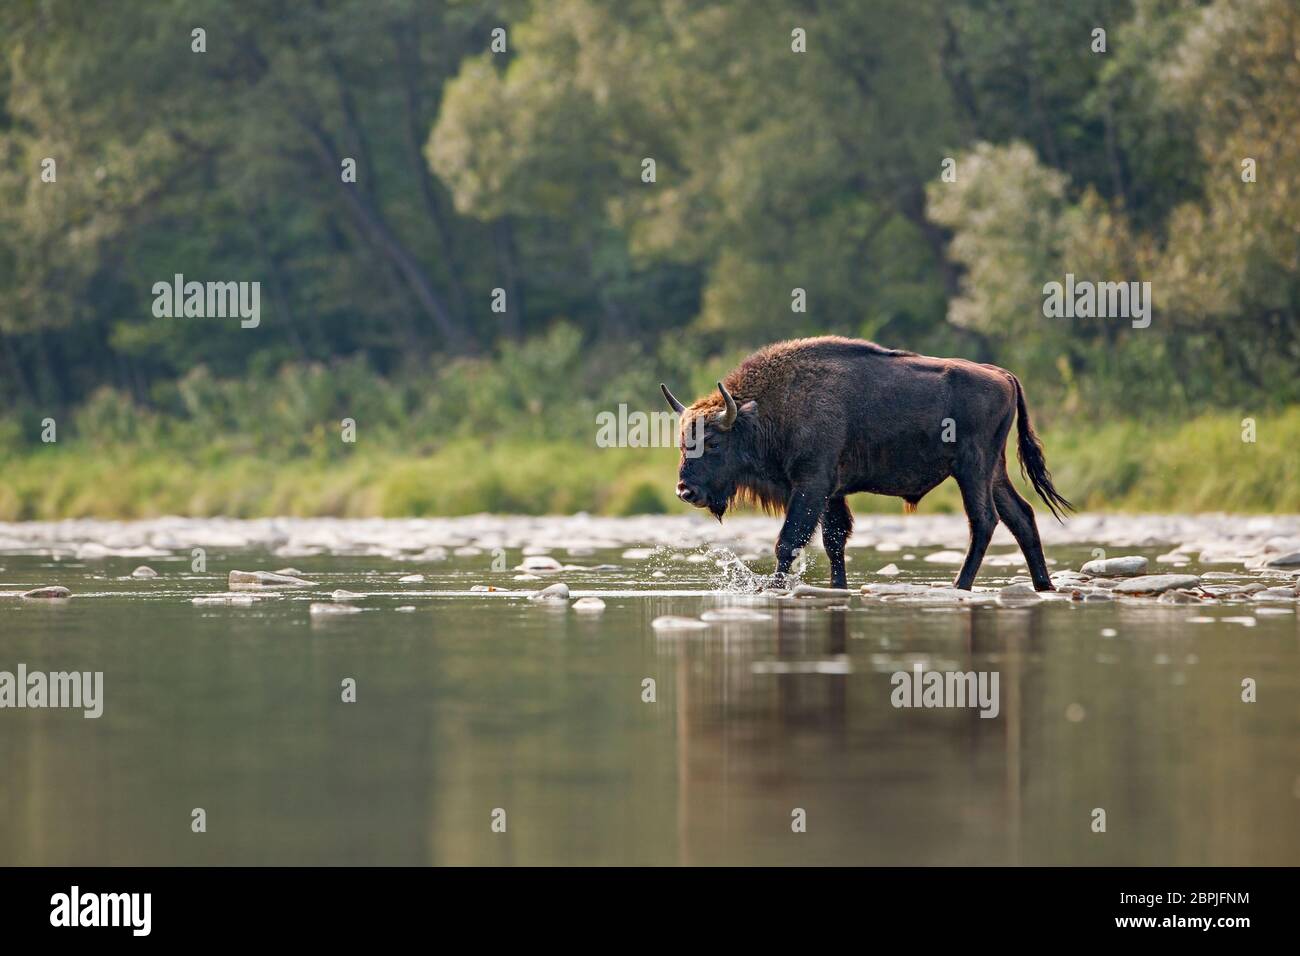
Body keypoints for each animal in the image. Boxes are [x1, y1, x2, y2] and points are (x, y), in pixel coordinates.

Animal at [660, 336, 1072, 591]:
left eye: (712, 442)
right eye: (682, 443)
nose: (685, 491)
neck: (763, 412)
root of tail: (1004, 375)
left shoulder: (810, 486)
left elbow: (789, 541)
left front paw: (774, 587)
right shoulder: (831, 493)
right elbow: (834, 541)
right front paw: (838, 586)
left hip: (973, 469)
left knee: (984, 520)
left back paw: (960, 584)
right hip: (994, 473)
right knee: (1021, 516)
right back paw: (1043, 584)